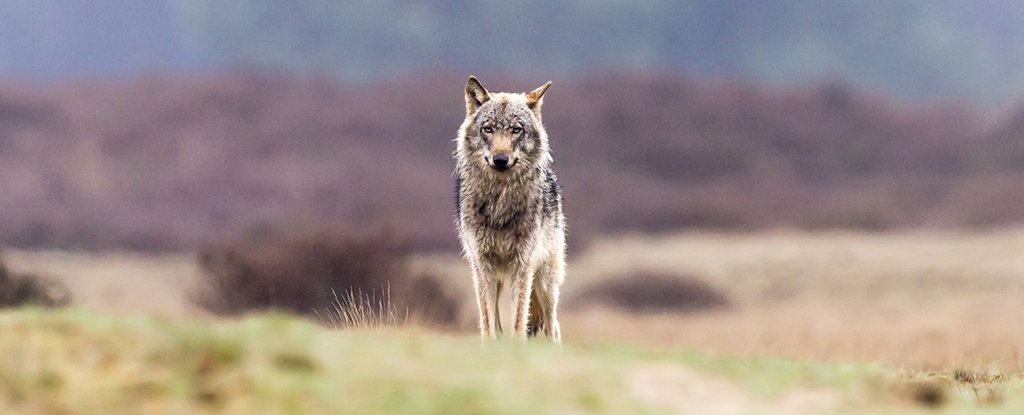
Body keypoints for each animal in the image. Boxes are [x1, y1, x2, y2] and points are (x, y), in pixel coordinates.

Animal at [456, 75, 569, 340]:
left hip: (545, 283)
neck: (499, 202)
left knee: (553, 326)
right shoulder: (482, 265)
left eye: (516, 129)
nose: (500, 160)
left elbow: (518, 321)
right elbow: (488, 324)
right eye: (488, 128)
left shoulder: (522, 264)